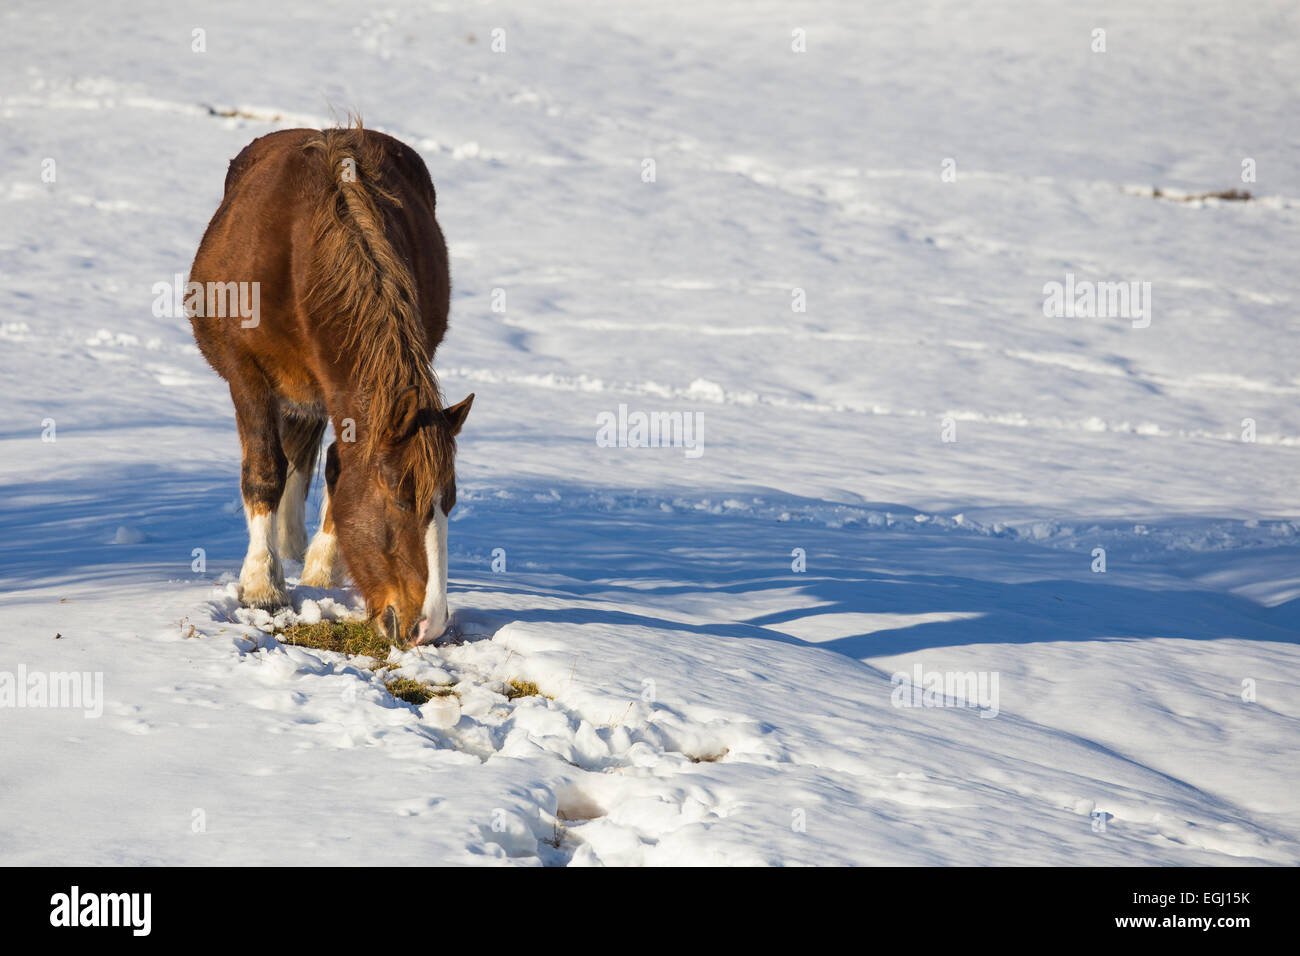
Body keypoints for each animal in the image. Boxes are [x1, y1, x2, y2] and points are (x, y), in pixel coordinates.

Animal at [189, 123, 473, 647]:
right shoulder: (247, 374)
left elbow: (337, 469)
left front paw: (319, 573)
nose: (429, 626)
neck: (301, 254)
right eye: (401, 499)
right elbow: (264, 471)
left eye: (450, 503)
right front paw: (262, 585)